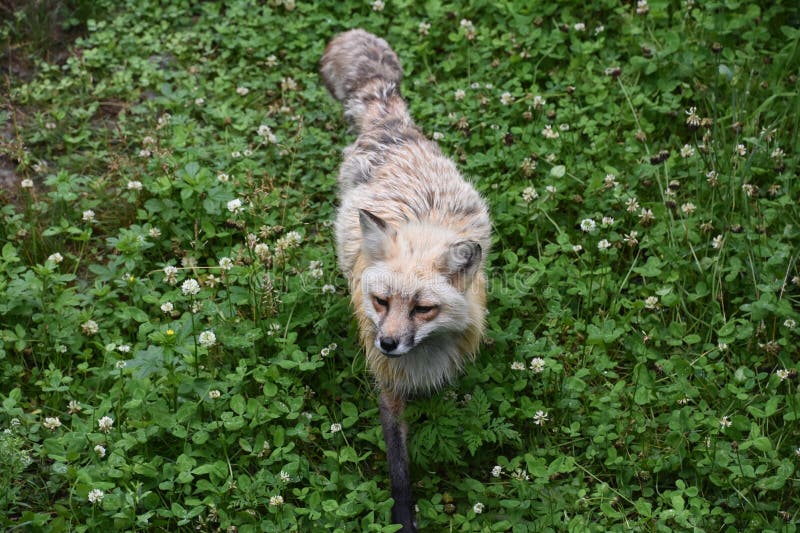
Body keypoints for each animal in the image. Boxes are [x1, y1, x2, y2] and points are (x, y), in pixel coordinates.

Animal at [320, 29, 491, 532]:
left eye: (423, 308)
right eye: (380, 302)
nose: (388, 344)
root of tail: (390, 125)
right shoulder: (388, 385)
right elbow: (398, 466)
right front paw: (403, 519)